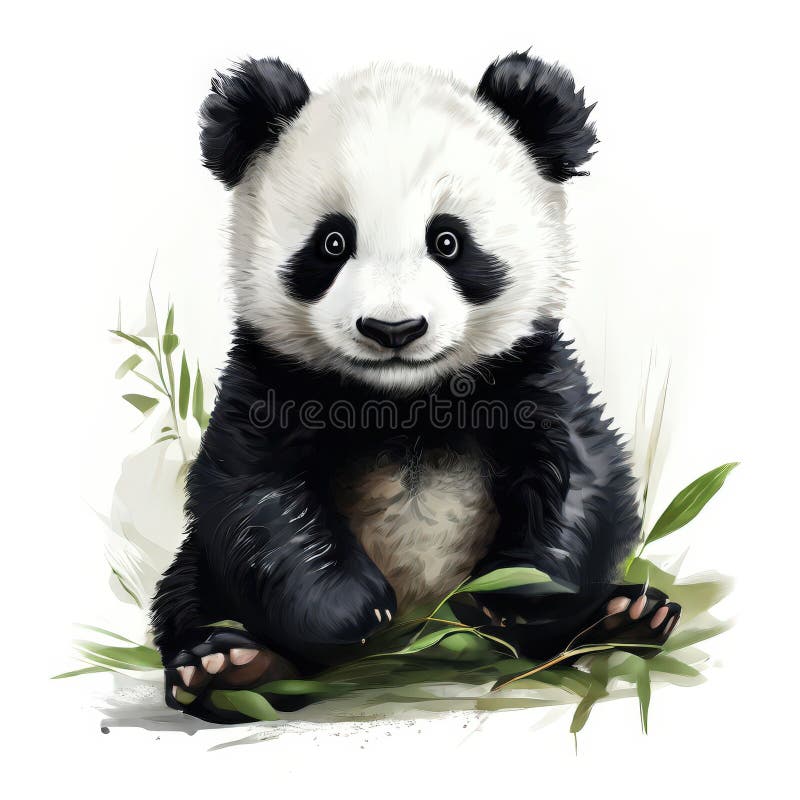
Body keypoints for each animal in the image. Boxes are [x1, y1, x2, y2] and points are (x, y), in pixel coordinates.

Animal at [152, 52, 682, 722]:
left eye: (448, 241)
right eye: (332, 242)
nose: (393, 328)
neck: (404, 401)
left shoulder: (527, 369)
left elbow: (581, 470)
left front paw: (517, 590)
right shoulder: (272, 376)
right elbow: (252, 493)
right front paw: (350, 608)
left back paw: (627, 619)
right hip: (202, 578)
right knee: (187, 594)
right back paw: (233, 666)